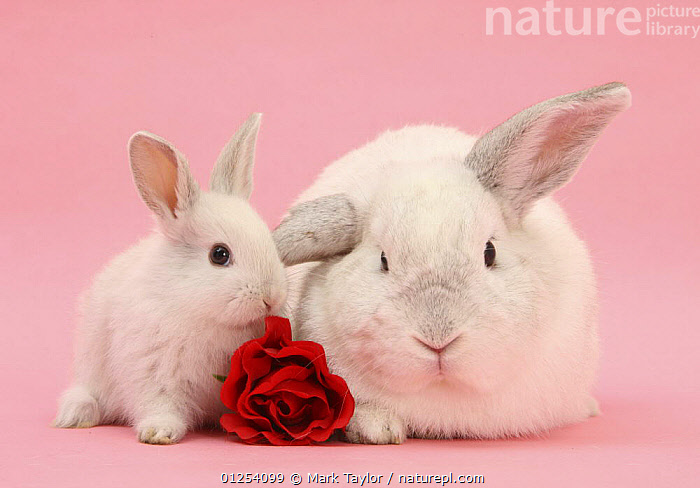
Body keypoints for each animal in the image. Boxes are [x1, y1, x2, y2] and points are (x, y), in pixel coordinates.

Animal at [54, 113, 288, 444]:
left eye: (270, 240)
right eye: (219, 254)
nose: (272, 297)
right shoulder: (153, 369)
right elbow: (160, 402)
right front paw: (159, 433)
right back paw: (74, 417)